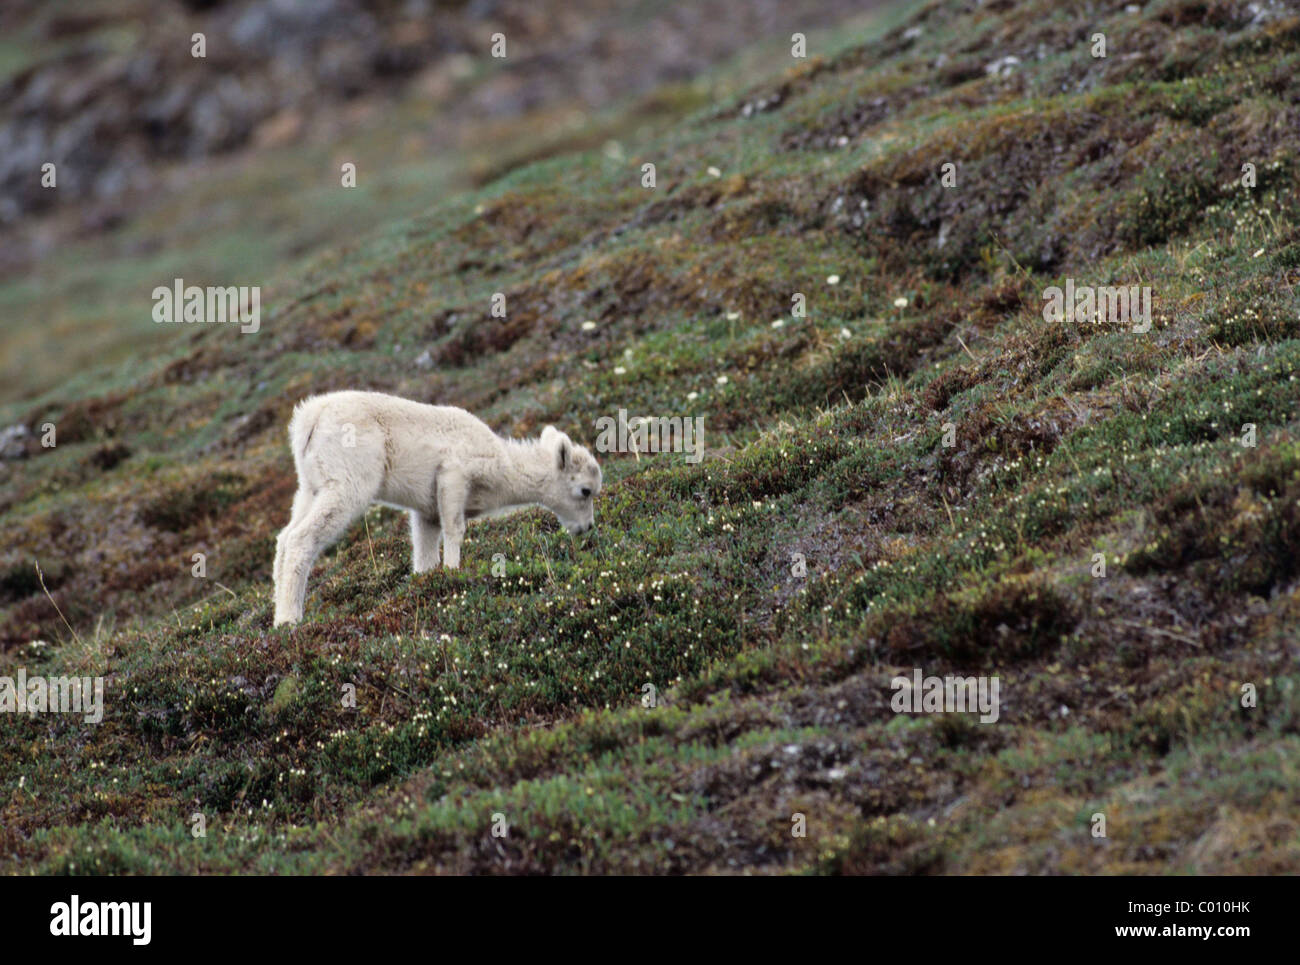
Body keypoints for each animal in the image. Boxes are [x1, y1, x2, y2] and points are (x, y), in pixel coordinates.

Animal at [272, 391, 601, 626]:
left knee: (284, 539)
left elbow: (424, 556)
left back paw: (278, 617)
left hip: (310, 489)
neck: (504, 468)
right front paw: (454, 571)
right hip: (345, 488)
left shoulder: (426, 512)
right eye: (585, 491)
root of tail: (310, 420)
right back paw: (290, 620)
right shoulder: (452, 478)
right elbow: (455, 531)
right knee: (301, 540)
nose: (587, 528)